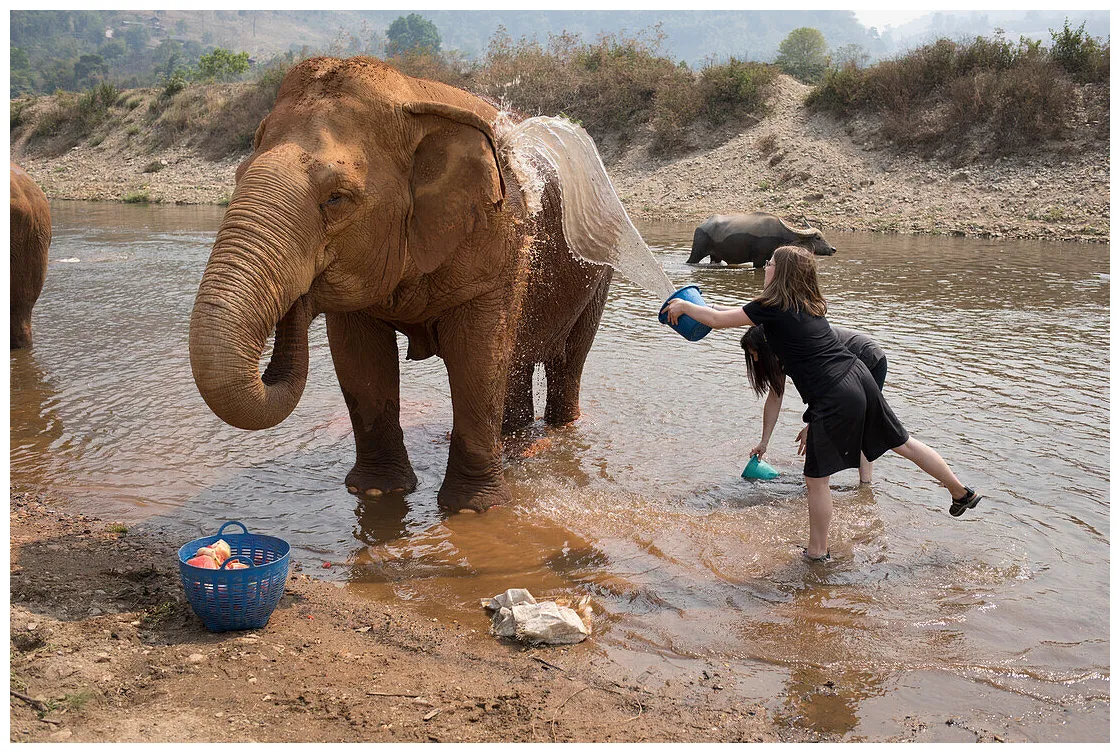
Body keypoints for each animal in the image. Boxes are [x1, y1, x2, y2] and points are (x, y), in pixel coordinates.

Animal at [188, 57, 613, 513]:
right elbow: (359, 358)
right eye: (237, 176)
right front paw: (378, 493)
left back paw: (553, 435)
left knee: (567, 358)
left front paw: (472, 510)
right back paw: (514, 442)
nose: (298, 299)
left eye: (336, 199)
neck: (410, 95)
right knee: (516, 364)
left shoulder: (497, 237)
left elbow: (477, 354)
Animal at [686, 211, 835, 266]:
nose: (833, 249)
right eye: (818, 237)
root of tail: (700, 226)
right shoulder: (758, 259)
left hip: (715, 257)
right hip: (696, 253)